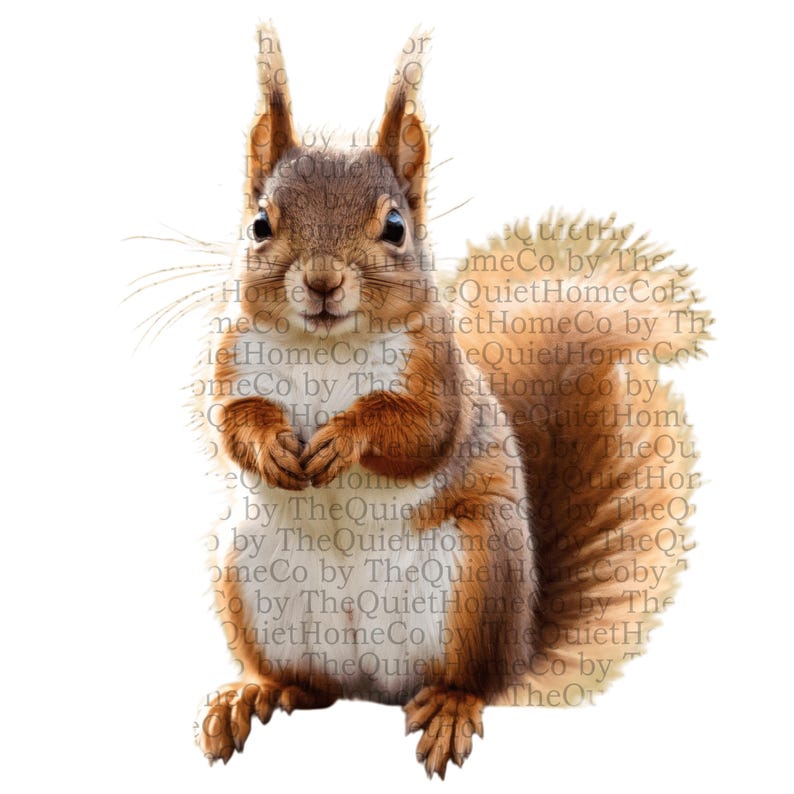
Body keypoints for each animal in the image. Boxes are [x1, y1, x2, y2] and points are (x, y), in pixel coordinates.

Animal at [192, 23, 711, 779]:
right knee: (305, 686)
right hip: (252, 575)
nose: (321, 282)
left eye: (395, 228)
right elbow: (230, 423)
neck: (325, 348)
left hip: (476, 575)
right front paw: (273, 444)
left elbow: (420, 431)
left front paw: (344, 438)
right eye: (260, 224)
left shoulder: (437, 373)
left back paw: (447, 707)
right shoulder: (235, 361)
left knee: (474, 681)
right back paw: (255, 692)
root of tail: (373, 684)